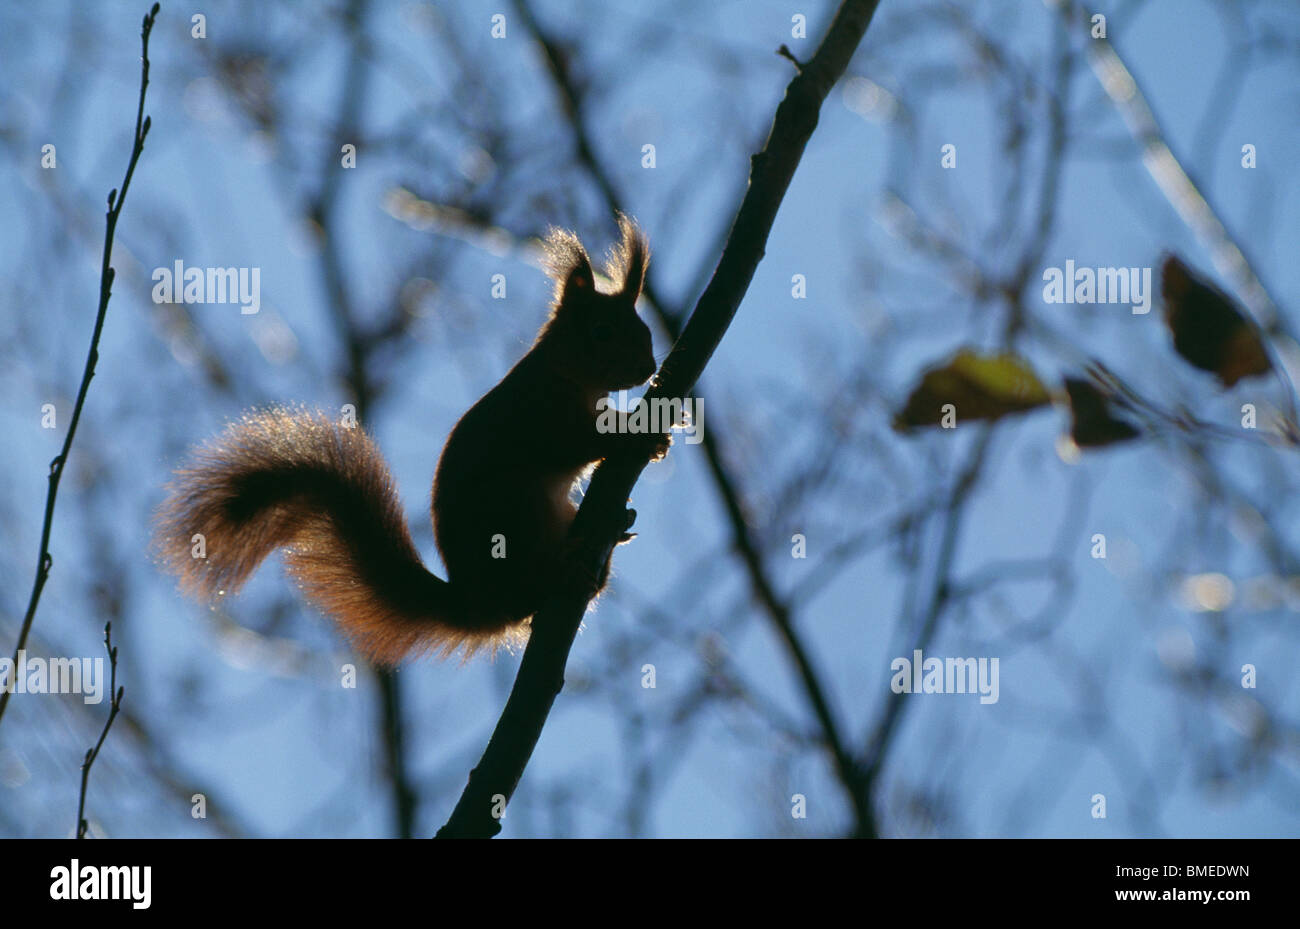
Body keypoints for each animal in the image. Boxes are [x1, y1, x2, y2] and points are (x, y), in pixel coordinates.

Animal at [154, 214, 669, 664]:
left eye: (644, 330)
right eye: (601, 332)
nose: (648, 368)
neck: (565, 375)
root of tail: (476, 604)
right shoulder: (539, 416)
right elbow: (575, 443)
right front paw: (635, 432)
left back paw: (611, 536)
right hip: (514, 518)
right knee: (530, 595)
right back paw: (566, 564)